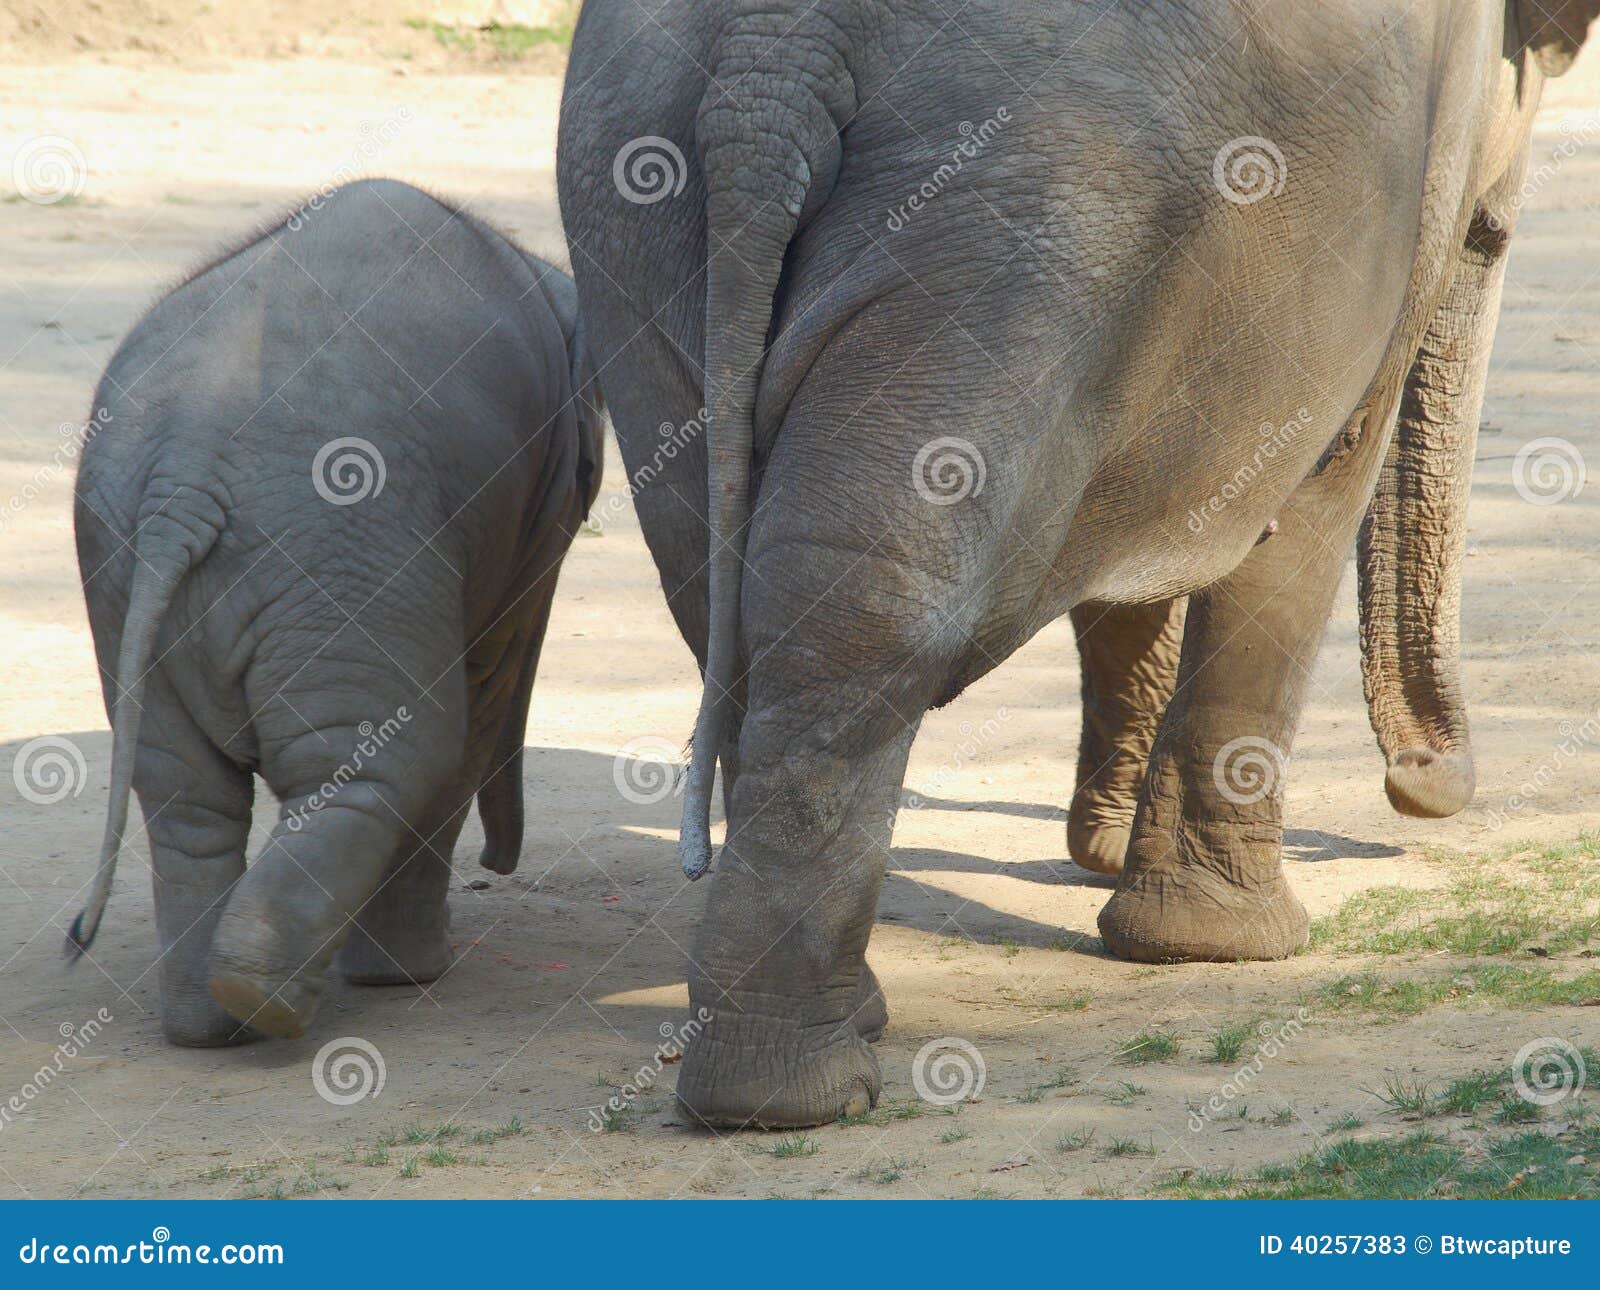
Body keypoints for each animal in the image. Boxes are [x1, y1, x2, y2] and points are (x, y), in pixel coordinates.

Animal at [68, 178, 602, 1046]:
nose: (503, 862)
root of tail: (183, 479)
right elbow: (479, 699)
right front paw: (409, 977)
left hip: (131, 579)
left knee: (186, 791)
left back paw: (212, 1023)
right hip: (342, 565)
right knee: (385, 757)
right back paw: (281, 999)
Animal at [558, 0, 1596, 1126]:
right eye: (1488, 237)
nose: (1415, 789)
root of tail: (769, 58)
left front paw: (1108, 864)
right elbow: (1316, 487)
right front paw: (1228, 948)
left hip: (637, 215)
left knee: (729, 582)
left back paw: (820, 1037)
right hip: (1026, 221)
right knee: (860, 607)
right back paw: (796, 1092)